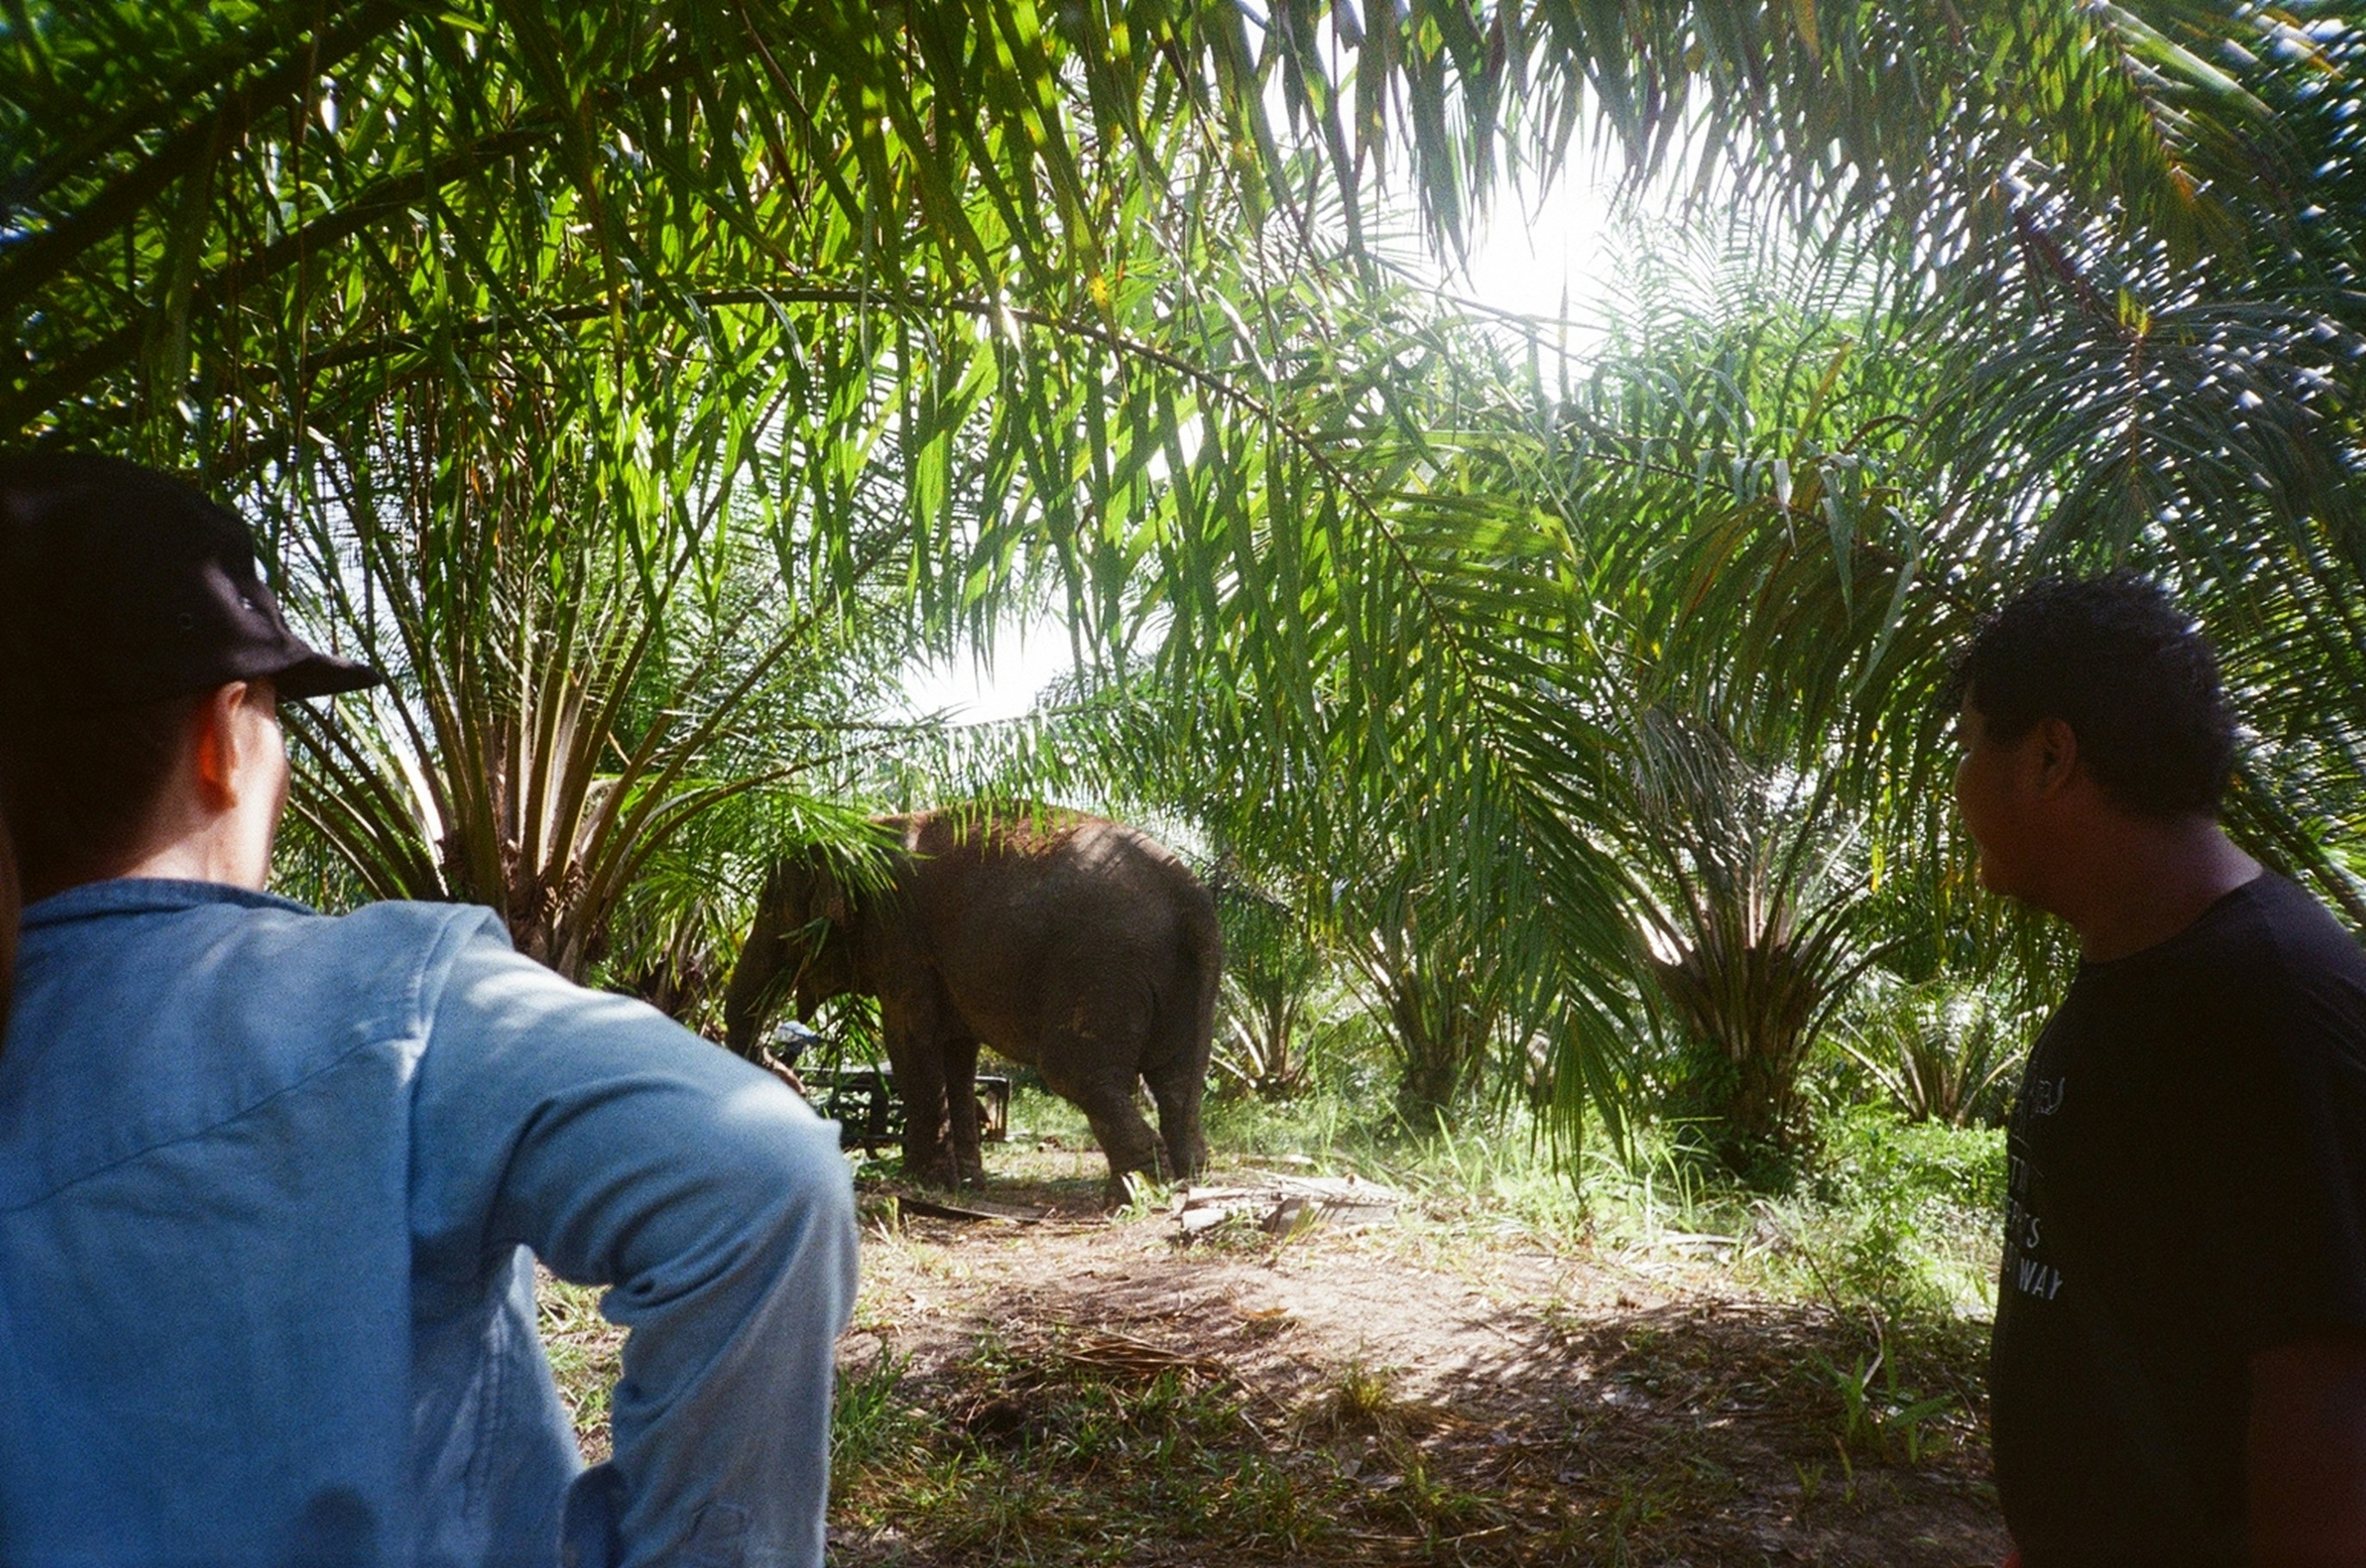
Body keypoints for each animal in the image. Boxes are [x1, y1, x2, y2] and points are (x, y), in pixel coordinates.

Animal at [724, 805, 1220, 1199]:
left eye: (770, 908)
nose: (794, 1079)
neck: (864, 827)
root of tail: (1191, 895)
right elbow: (956, 1055)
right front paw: (965, 1183)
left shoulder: (899, 935)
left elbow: (909, 1039)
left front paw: (918, 1182)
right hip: (1183, 979)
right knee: (1177, 1077)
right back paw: (1185, 1180)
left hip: (1102, 965)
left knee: (1074, 1070)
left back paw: (1133, 1192)